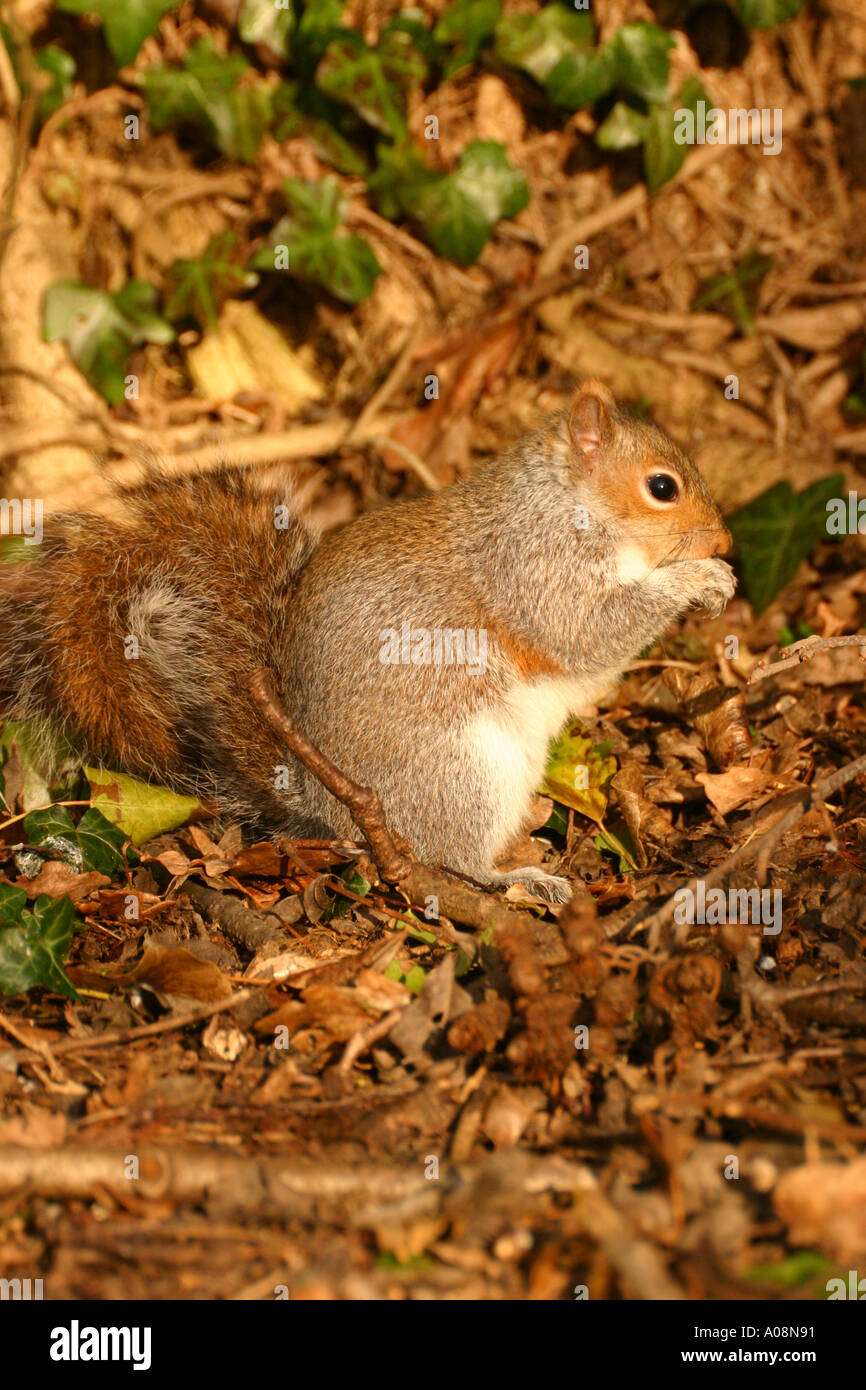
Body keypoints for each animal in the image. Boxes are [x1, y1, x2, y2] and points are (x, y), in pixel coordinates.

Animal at [0, 380, 735, 902]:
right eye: (661, 487)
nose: (725, 540)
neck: (567, 507)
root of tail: (323, 803)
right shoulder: (532, 570)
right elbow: (586, 630)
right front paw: (697, 580)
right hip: (463, 772)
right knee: (449, 859)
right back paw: (515, 878)